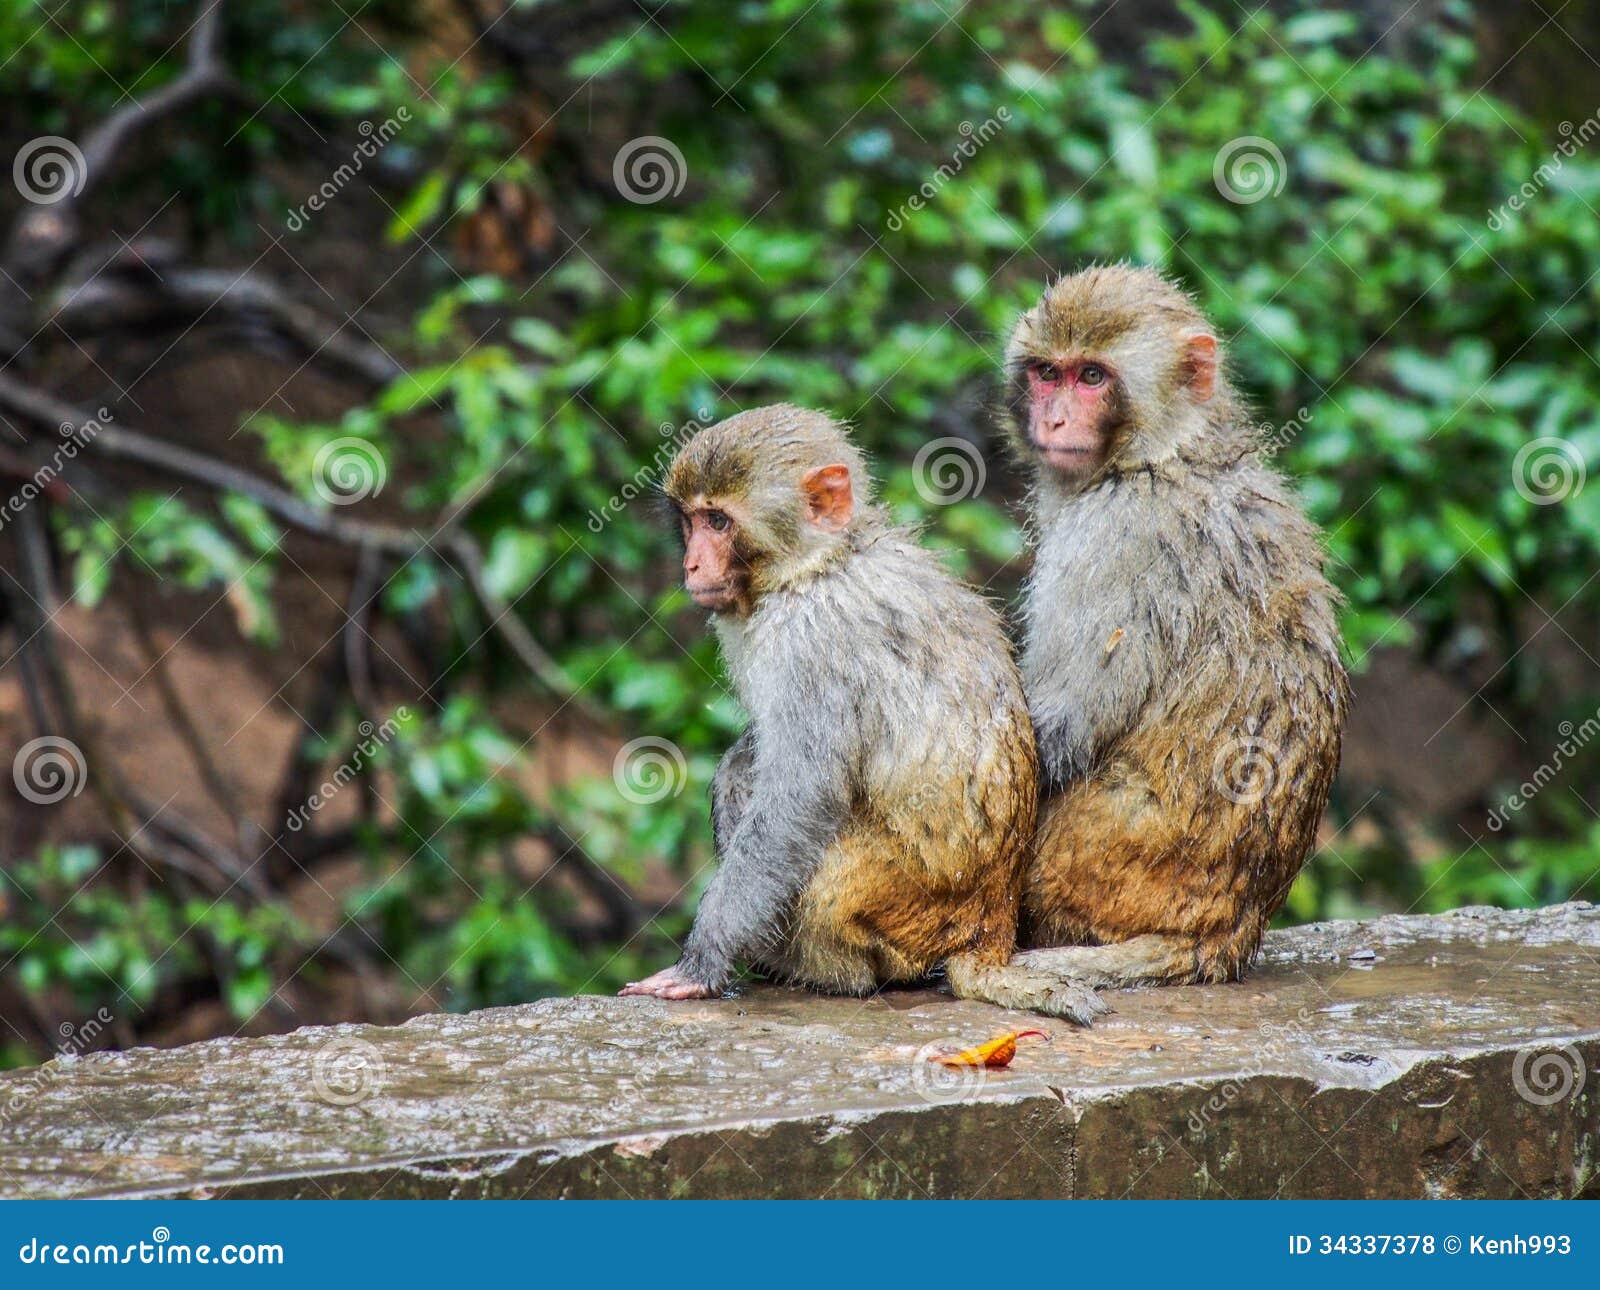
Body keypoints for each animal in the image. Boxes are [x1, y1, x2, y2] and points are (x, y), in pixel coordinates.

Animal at [619, 404, 1107, 1023]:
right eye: (691, 521)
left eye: (719, 521)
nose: (692, 563)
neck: (819, 564)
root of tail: (991, 923)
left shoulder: (809, 639)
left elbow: (798, 801)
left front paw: (702, 963)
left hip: (906, 905)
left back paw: (826, 972)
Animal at [998, 265, 1349, 990]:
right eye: (1047, 372)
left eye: (1092, 377)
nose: (1053, 417)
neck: (1166, 454)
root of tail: (1225, 933)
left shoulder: (1109, 536)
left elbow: (1051, 736)